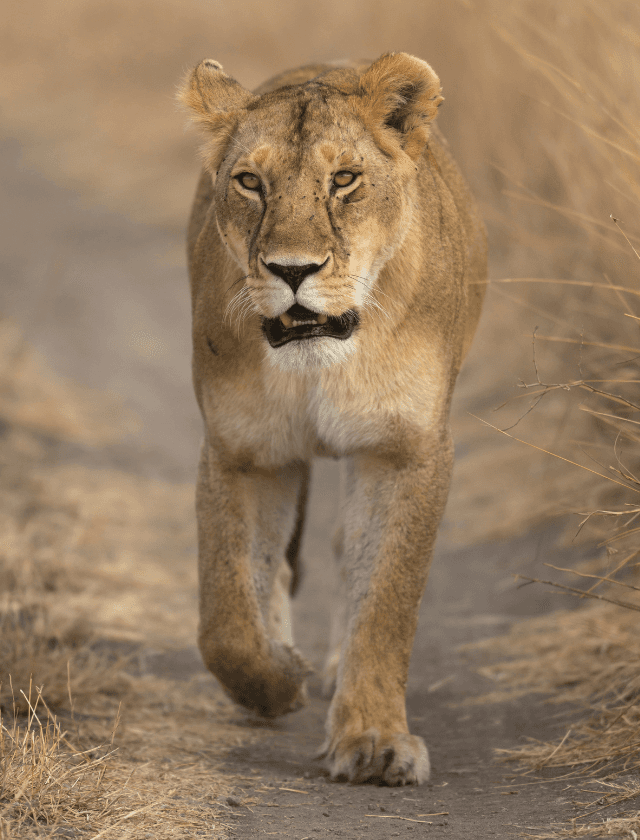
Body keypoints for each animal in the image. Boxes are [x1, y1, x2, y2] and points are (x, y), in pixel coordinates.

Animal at [179, 52, 486, 786]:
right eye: (250, 182)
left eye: (344, 180)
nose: (293, 270)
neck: (319, 362)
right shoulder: (241, 450)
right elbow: (226, 613)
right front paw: (276, 680)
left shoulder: (406, 450)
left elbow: (386, 601)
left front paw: (373, 739)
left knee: (350, 554)